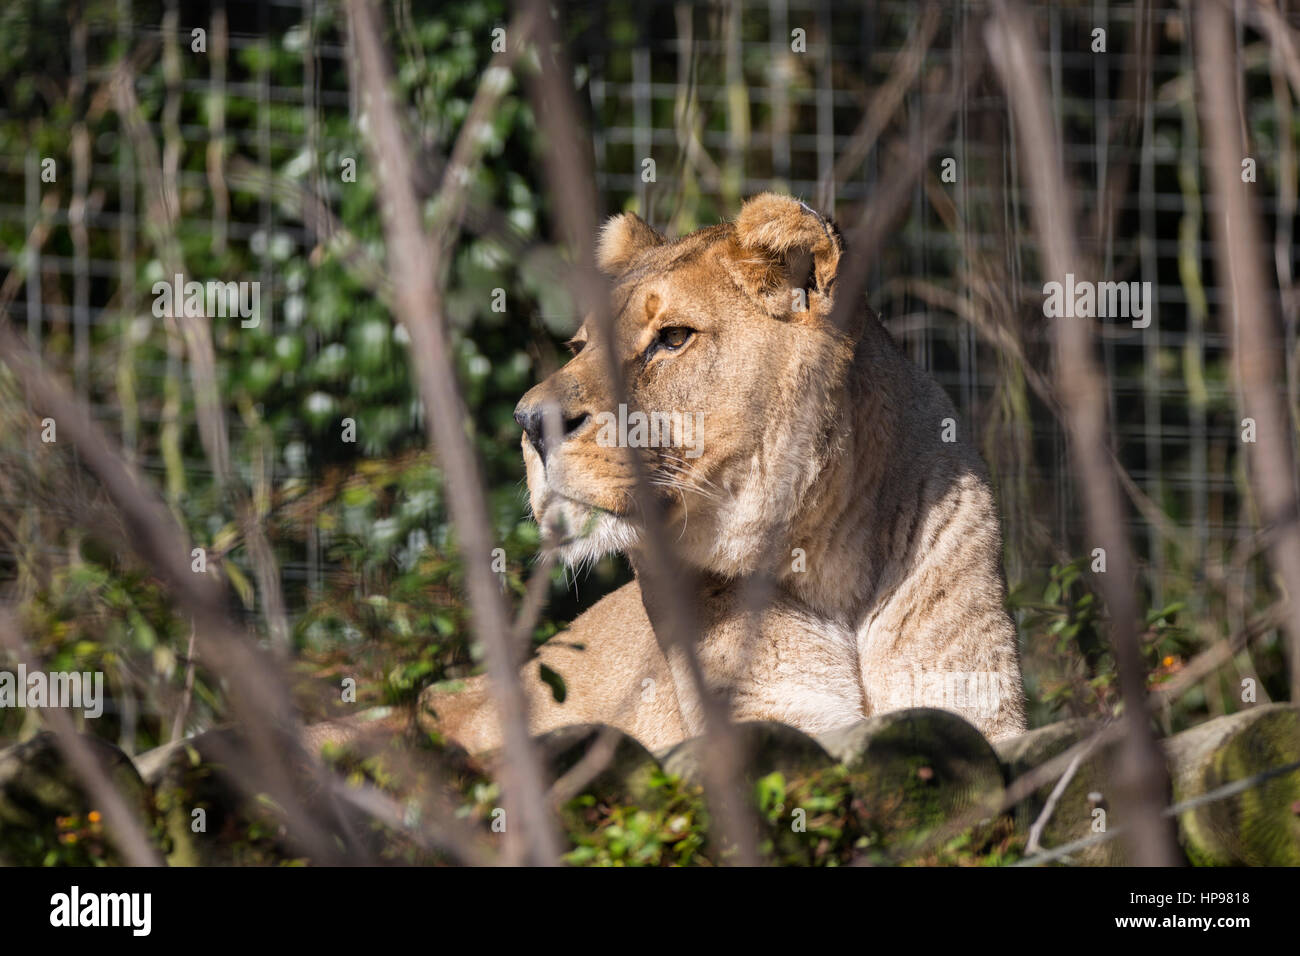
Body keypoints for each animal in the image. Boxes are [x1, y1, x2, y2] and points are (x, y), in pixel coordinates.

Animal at [419, 193, 1027, 755]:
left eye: (672, 338)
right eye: (580, 346)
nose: (528, 422)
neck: (837, 572)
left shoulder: (977, 710)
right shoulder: (765, 723)